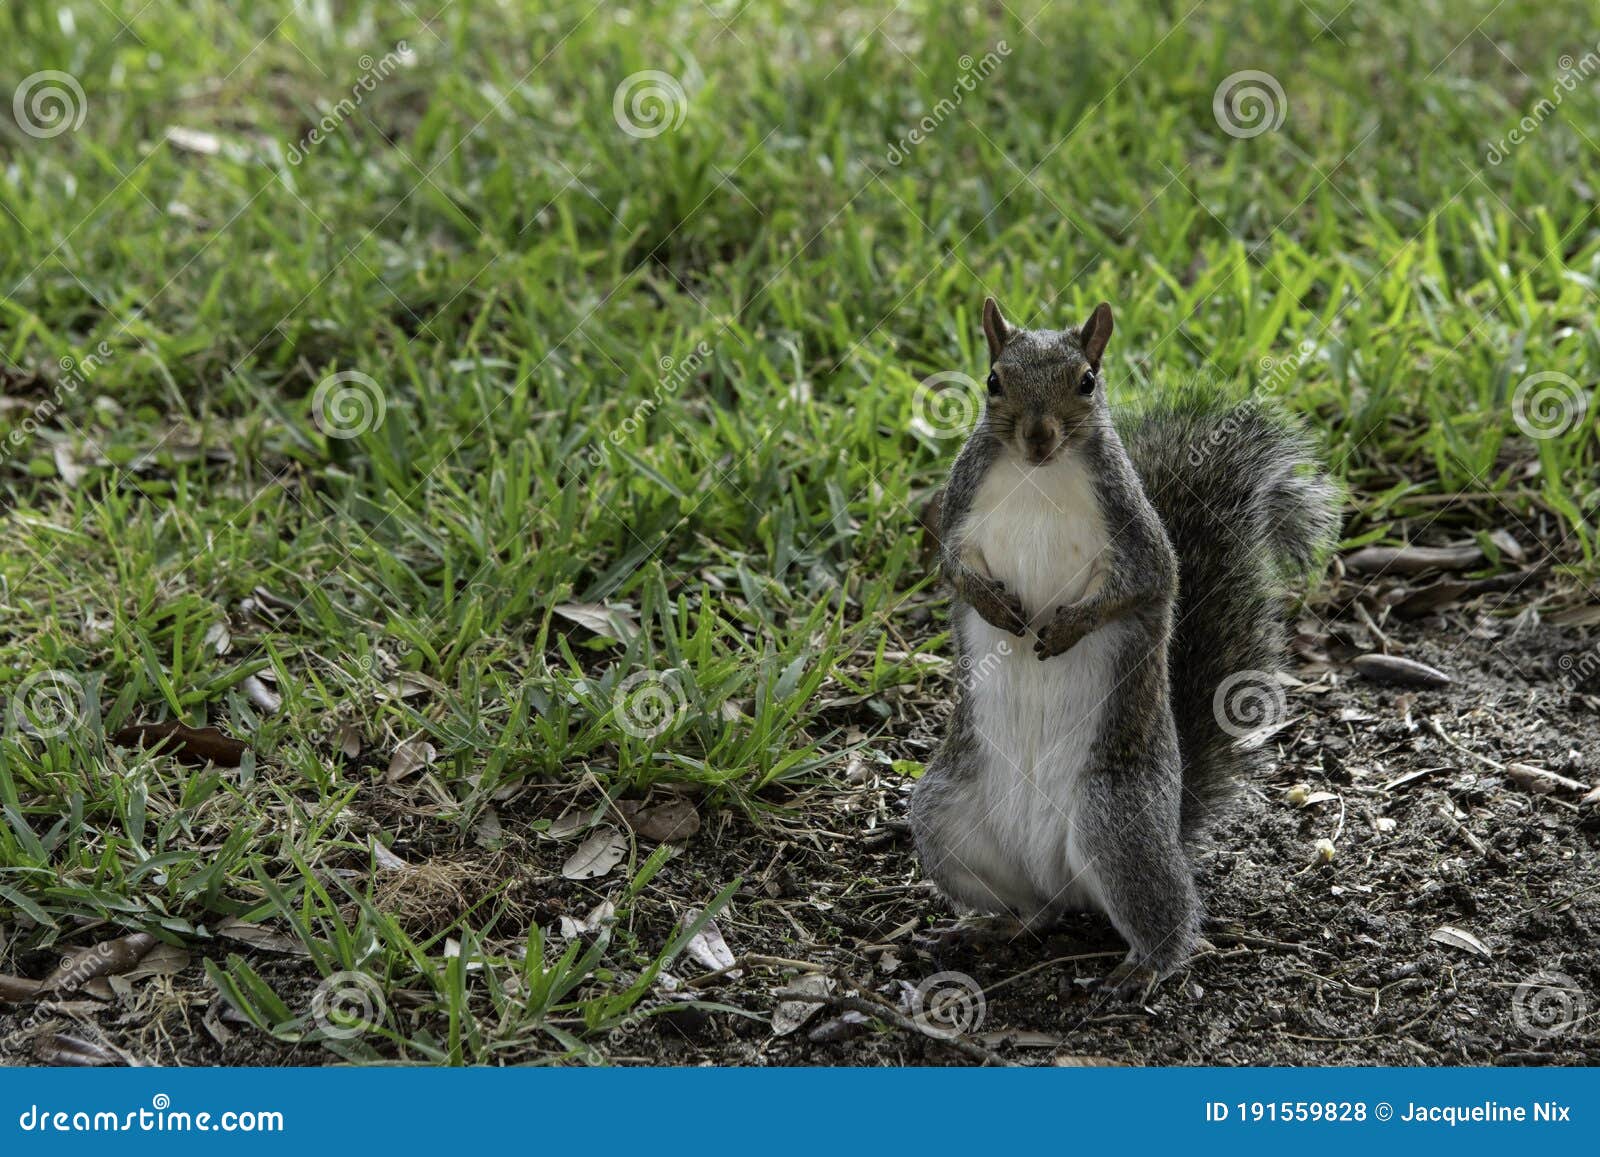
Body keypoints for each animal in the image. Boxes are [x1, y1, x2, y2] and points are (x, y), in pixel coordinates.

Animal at [909, 296, 1339, 991]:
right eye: (994, 381)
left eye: (1087, 381)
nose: (1038, 438)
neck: (1038, 475)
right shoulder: (958, 514)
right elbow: (954, 569)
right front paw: (996, 606)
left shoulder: (1135, 534)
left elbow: (1146, 584)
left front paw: (1065, 628)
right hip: (944, 818)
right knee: (1037, 912)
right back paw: (997, 925)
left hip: (1116, 821)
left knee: (1169, 913)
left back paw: (1146, 965)